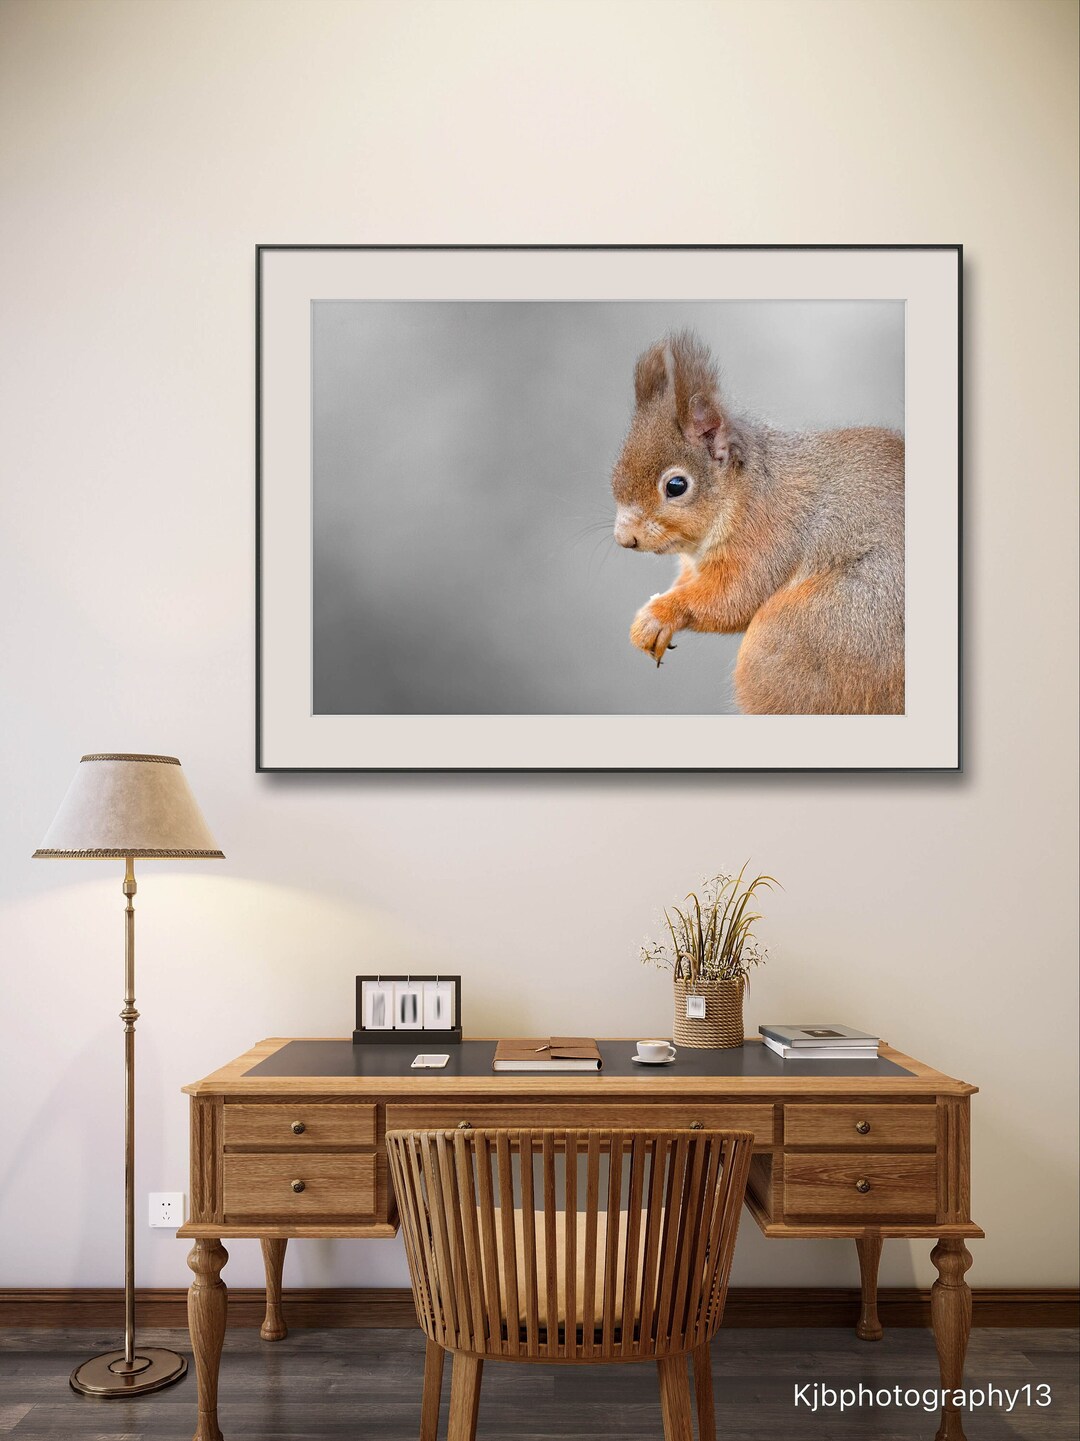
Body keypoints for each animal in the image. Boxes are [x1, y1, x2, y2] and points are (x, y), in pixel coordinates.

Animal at [610, 330, 904, 714]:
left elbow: (734, 596)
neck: (743, 491)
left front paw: (660, 615)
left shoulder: (767, 534)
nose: (624, 538)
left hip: (822, 632)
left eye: (676, 486)